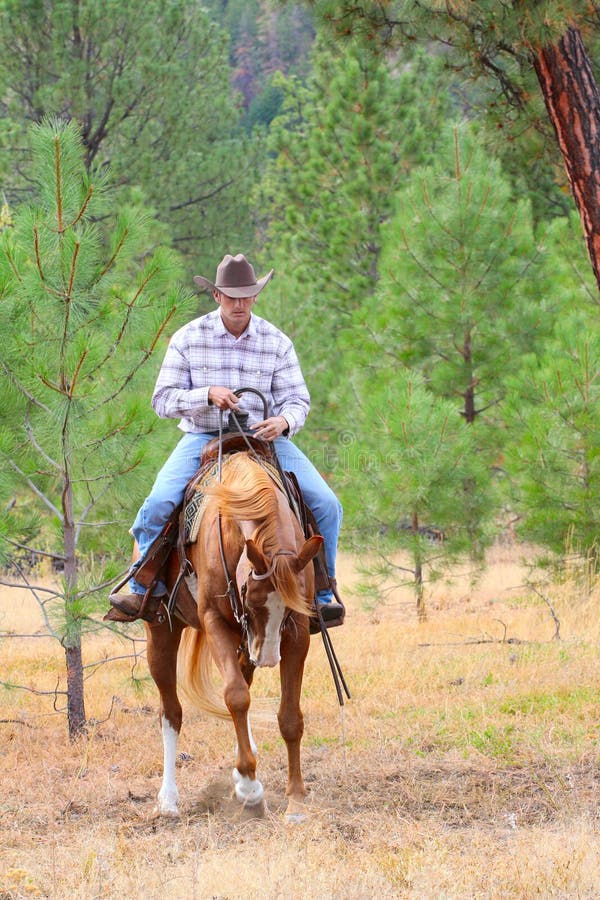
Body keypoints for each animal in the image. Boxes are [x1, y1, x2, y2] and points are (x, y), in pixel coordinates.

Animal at [145, 450, 322, 821]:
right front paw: (251, 791)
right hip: (161, 632)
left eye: (288, 609)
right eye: (251, 599)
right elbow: (236, 697)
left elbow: (289, 716)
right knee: (171, 712)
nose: (268, 657)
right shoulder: (216, 623)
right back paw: (169, 800)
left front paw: (296, 801)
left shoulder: (298, 632)